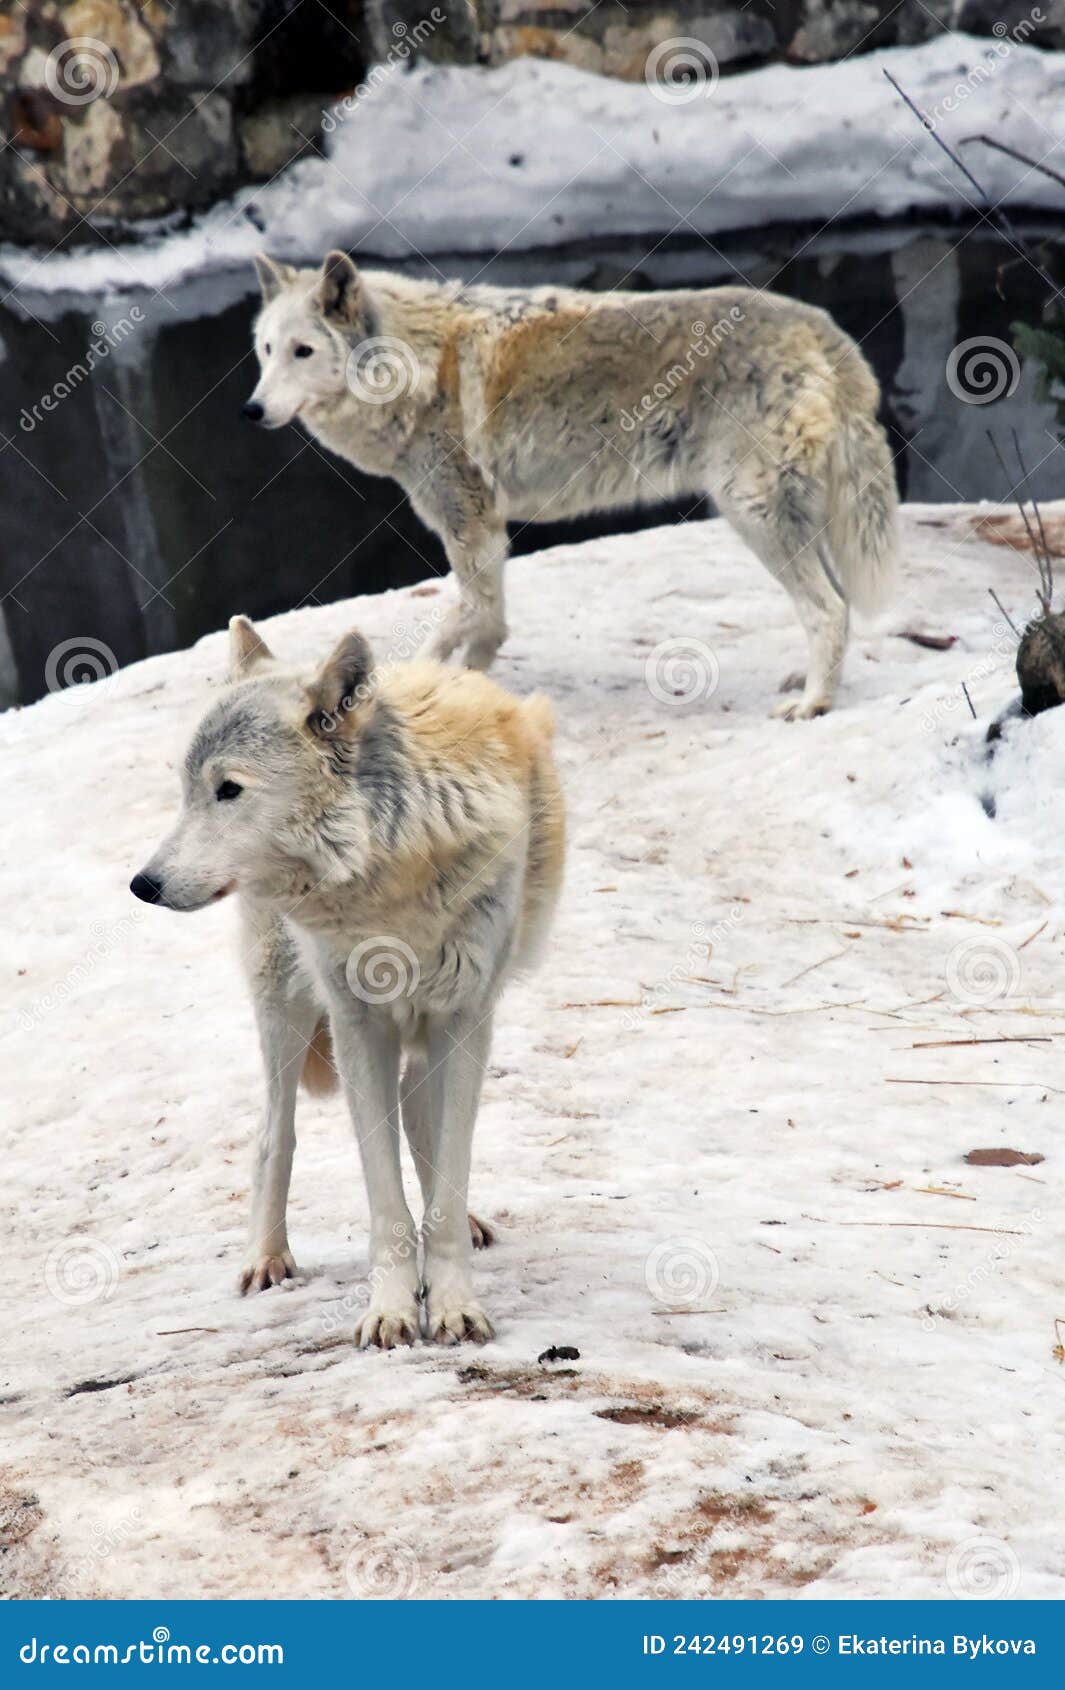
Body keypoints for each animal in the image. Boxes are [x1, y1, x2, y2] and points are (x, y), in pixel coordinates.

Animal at [131, 616, 564, 1348]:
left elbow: (446, 1177)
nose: (143, 884)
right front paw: (391, 1310)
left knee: (418, 1109)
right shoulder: (357, 1022)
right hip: (285, 1004)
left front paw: (452, 1303)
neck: (388, 872)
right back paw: (266, 1258)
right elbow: (383, 1201)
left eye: (228, 789)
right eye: (187, 792)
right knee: (274, 1134)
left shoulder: (463, 1016)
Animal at [244, 251, 898, 719]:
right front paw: (472, 678)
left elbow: (462, 616)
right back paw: (811, 683)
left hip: (754, 515)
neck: (415, 367)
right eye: (267, 351)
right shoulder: (488, 530)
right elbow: (490, 619)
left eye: (304, 351)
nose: (252, 410)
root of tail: (821, 329)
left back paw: (812, 704)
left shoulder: (469, 524)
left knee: (827, 609)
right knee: (838, 605)